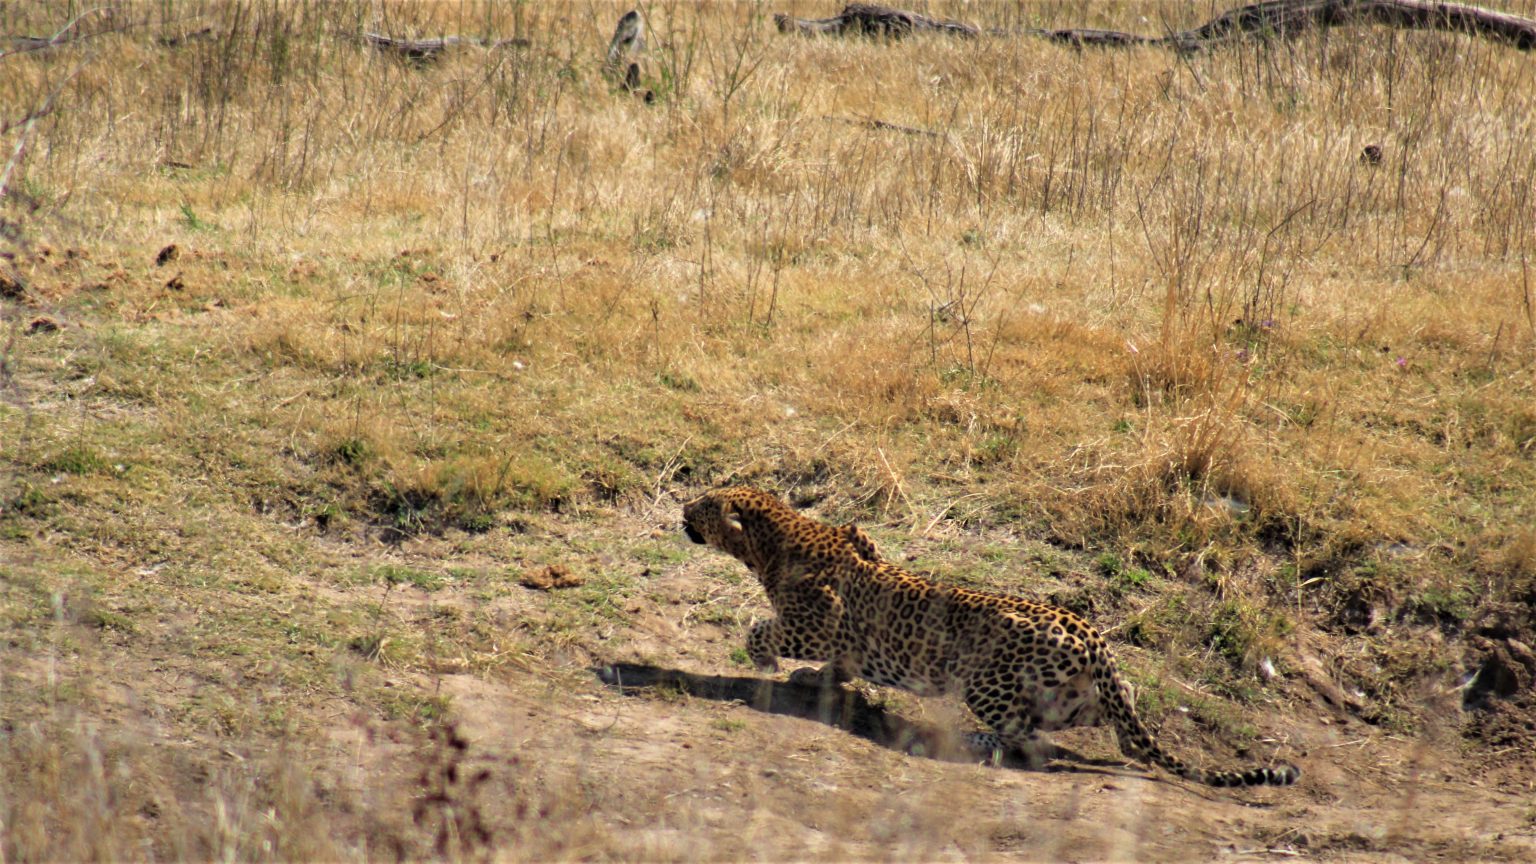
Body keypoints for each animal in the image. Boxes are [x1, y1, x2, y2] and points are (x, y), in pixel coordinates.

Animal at [682, 485, 1300, 789]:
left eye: (704, 505)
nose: (680, 506)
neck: (772, 538)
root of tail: (1092, 634)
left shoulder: (815, 622)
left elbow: (762, 628)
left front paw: (764, 662)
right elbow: (836, 664)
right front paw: (817, 679)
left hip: (986, 681)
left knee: (1020, 736)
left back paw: (966, 740)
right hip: (1075, 696)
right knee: (1111, 716)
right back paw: (1120, 739)